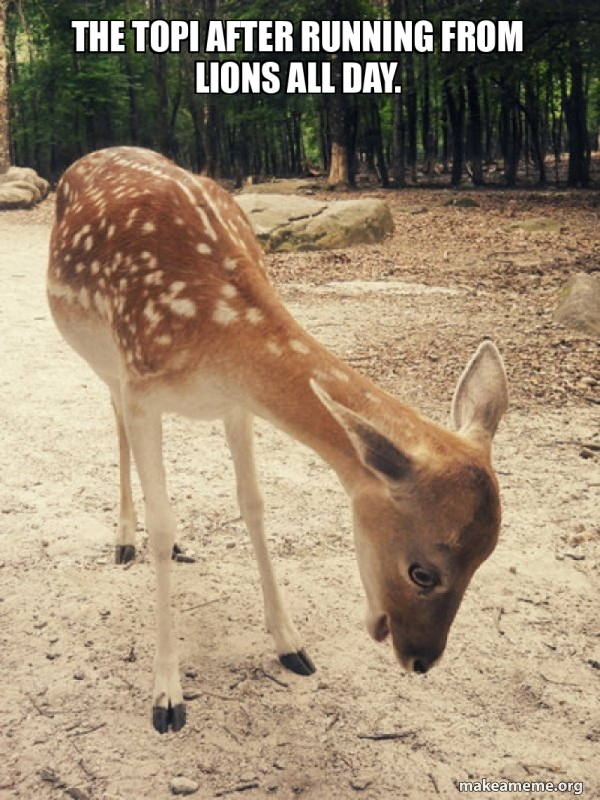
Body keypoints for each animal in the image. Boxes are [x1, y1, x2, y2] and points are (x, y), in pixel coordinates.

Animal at [47, 147, 508, 734]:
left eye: (485, 559)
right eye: (422, 571)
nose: (421, 659)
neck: (213, 333)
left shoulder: (237, 404)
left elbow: (254, 504)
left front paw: (291, 645)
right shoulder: (140, 388)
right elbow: (163, 519)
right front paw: (167, 695)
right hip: (104, 362)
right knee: (116, 425)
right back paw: (125, 539)